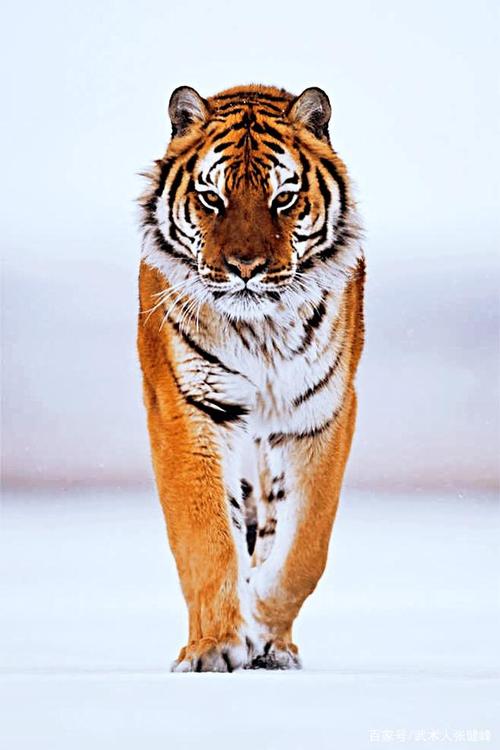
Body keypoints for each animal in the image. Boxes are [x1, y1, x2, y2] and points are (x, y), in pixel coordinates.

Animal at [137, 83, 364, 672]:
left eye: (282, 199)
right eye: (212, 198)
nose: (245, 267)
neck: (259, 330)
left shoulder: (322, 415)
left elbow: (306, 548)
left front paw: (262, 621)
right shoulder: (188, 408)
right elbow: (206, 539)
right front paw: (215, 645)